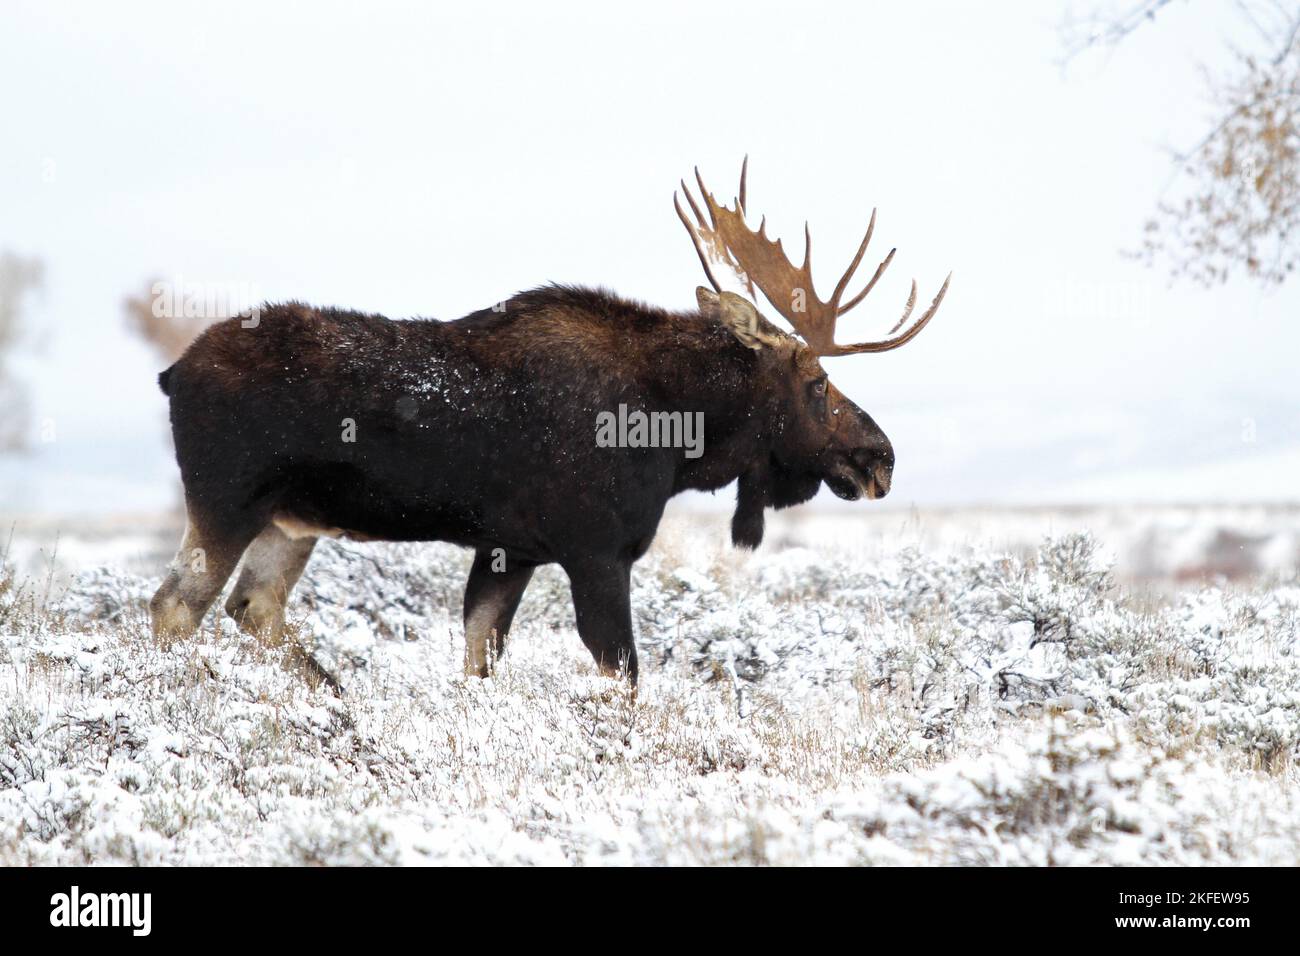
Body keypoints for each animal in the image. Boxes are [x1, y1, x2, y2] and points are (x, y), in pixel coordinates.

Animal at [149, 160, 949, 685]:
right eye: (817, 383)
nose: (880, 457)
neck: (680, 435)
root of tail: (171, 373)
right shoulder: (596, 550)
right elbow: (624, 675)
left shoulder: (512, 549)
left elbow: (479, 658)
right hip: (226, 500)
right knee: (175, 606)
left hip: (292, 521)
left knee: (253, 608)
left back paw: (332, 694)